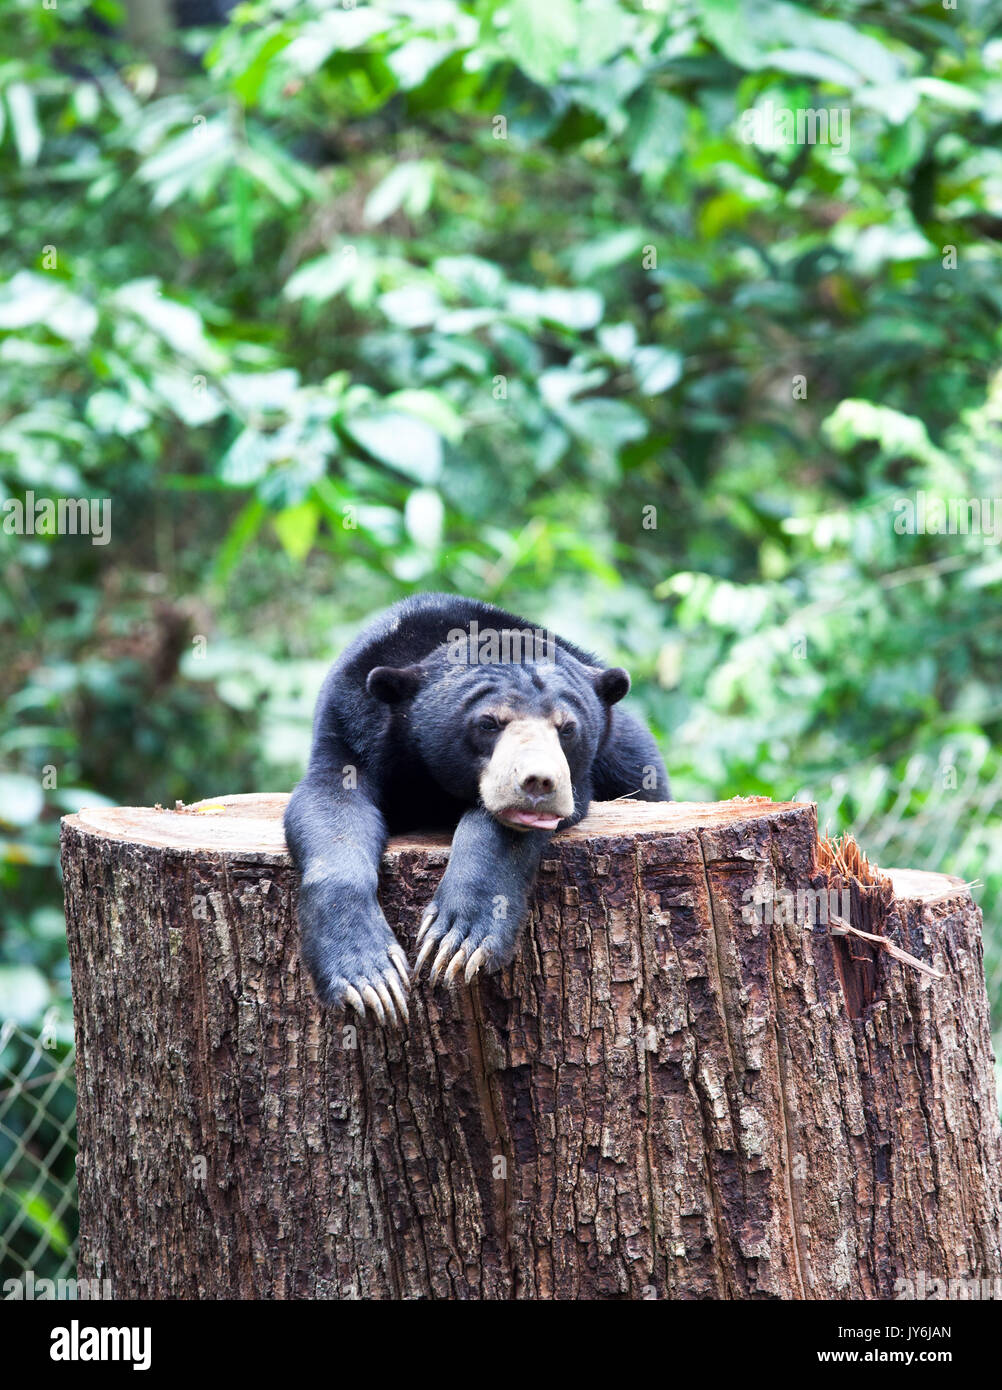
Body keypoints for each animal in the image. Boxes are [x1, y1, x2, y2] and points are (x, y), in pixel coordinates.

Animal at [284, 593, 670, 1023]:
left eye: (568, 728)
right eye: (488, 723)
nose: (539, 782)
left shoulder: (581, 781)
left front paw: (458, 941)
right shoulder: (349, 724)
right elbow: (330, 807)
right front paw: (369, 979)